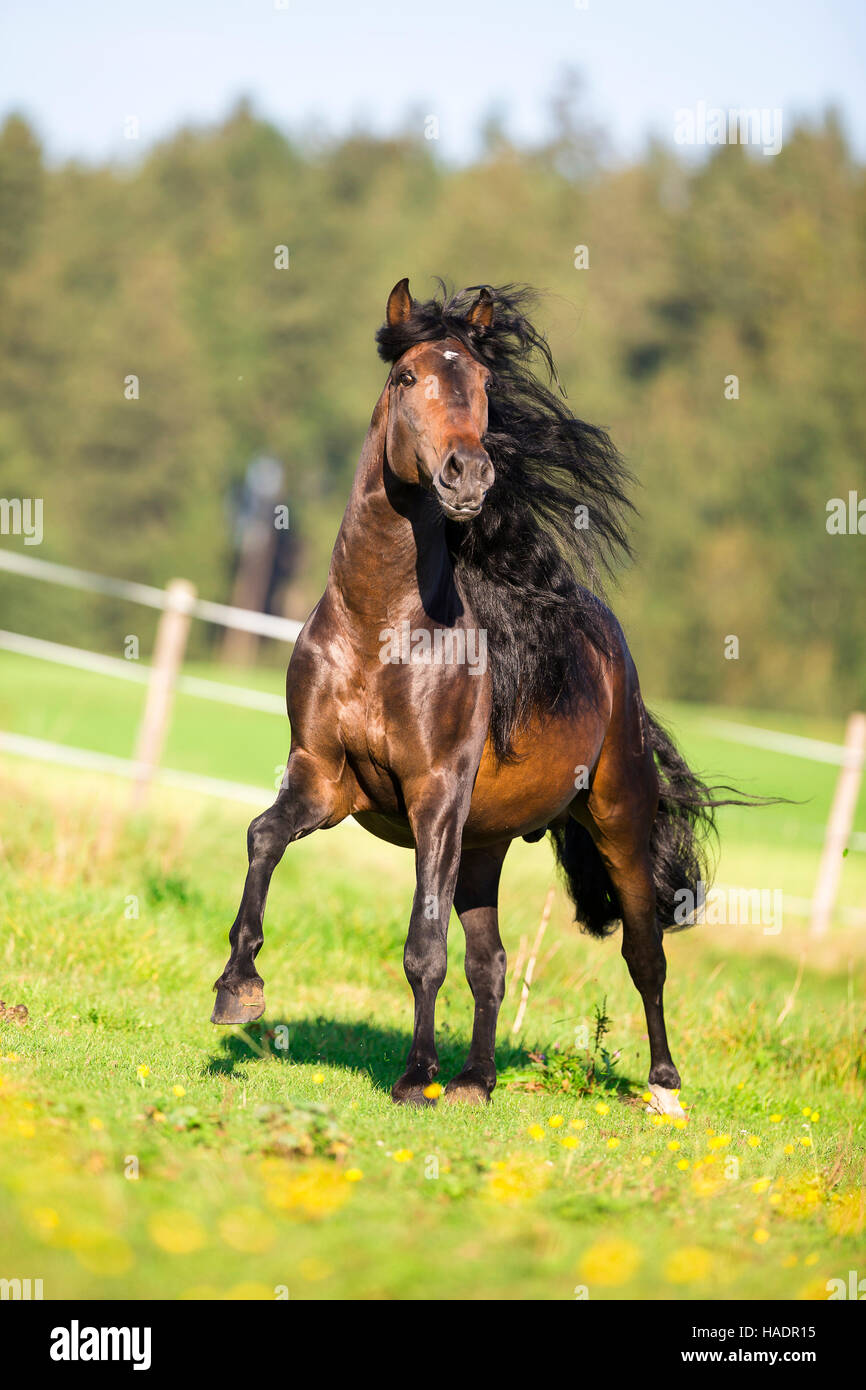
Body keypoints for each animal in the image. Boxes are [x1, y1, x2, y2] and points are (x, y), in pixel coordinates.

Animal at [211, 278, 727, 1118]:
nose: (467, 476)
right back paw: (475, 1081)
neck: (380, 629)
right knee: (493, 960)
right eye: (406, 377)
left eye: (483, 385)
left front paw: (413, 1076)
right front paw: (238, 988)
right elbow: (262, 836)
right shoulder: (324, 780)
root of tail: (611, 648)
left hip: (616, 816)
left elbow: (424, 947)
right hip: (484, 846)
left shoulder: (434, 798)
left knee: (644, 952)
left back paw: (663, 1089)